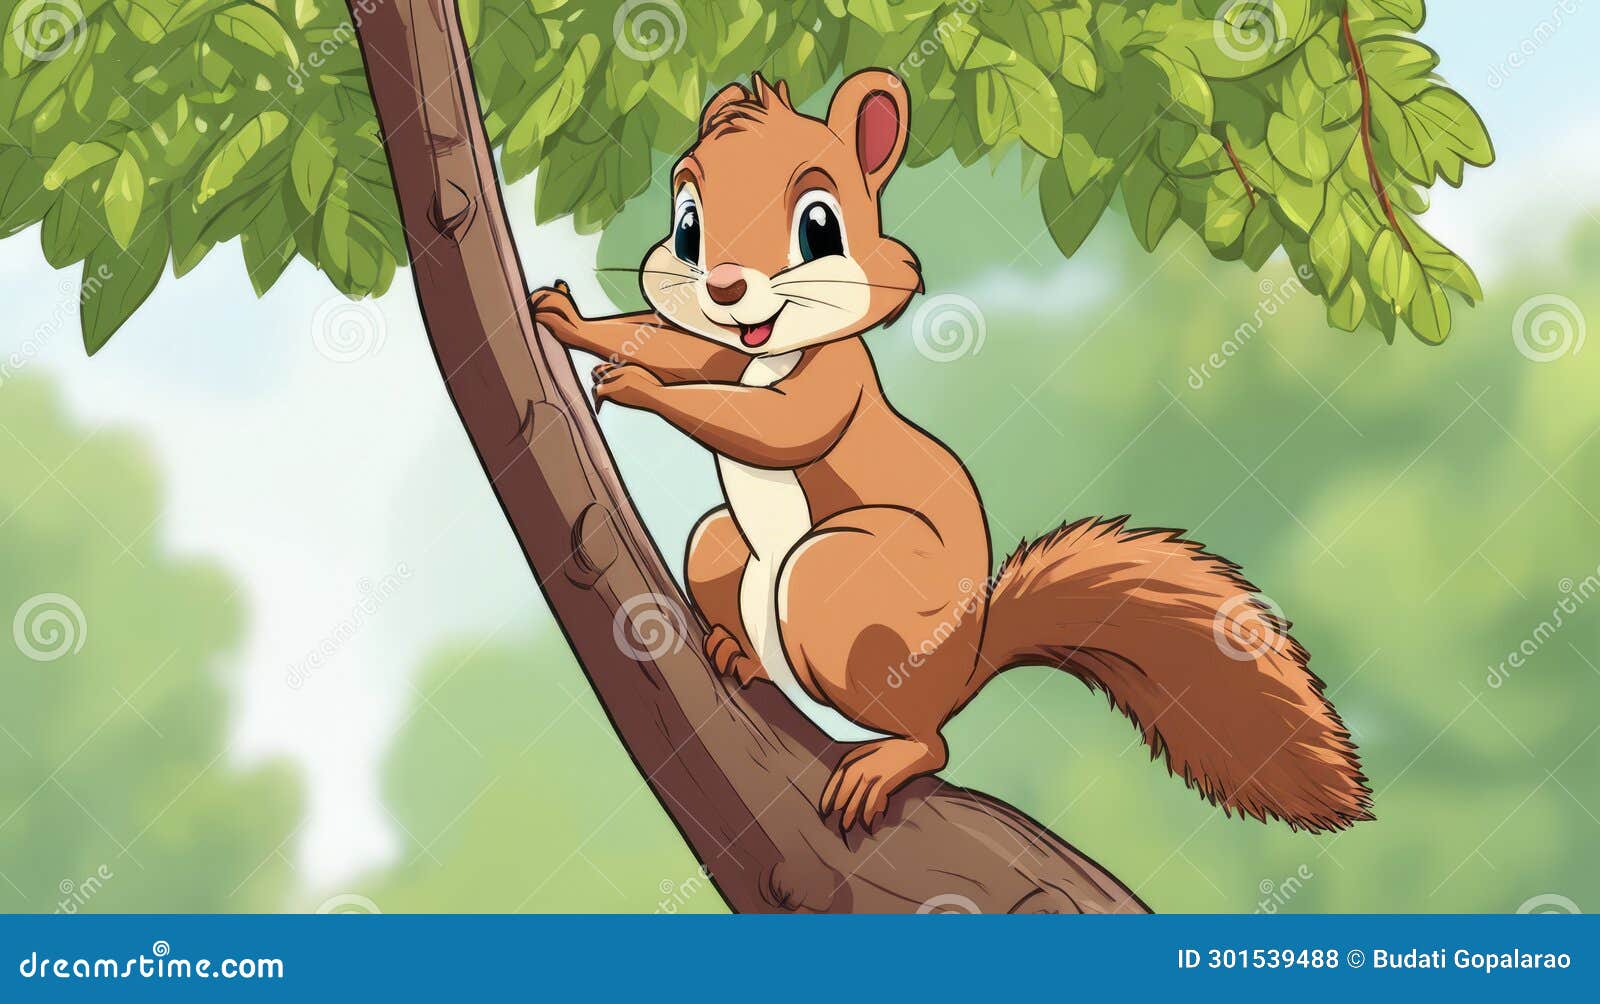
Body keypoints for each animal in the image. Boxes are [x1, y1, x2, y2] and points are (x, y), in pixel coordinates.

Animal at [530, 70, 1374, 834]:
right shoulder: (724, 353)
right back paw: (739, 651)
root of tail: (963, 669)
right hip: (721, 548)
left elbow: (772, 425)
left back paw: (887, 757)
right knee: (723, 560)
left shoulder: (831, 387)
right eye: (688, 227)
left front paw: (637, 384)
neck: (770, 350)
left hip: (837, 586)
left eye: (819, 226)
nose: (728, 288)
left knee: (929, 739)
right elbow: (685, 348)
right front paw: (571, 320)